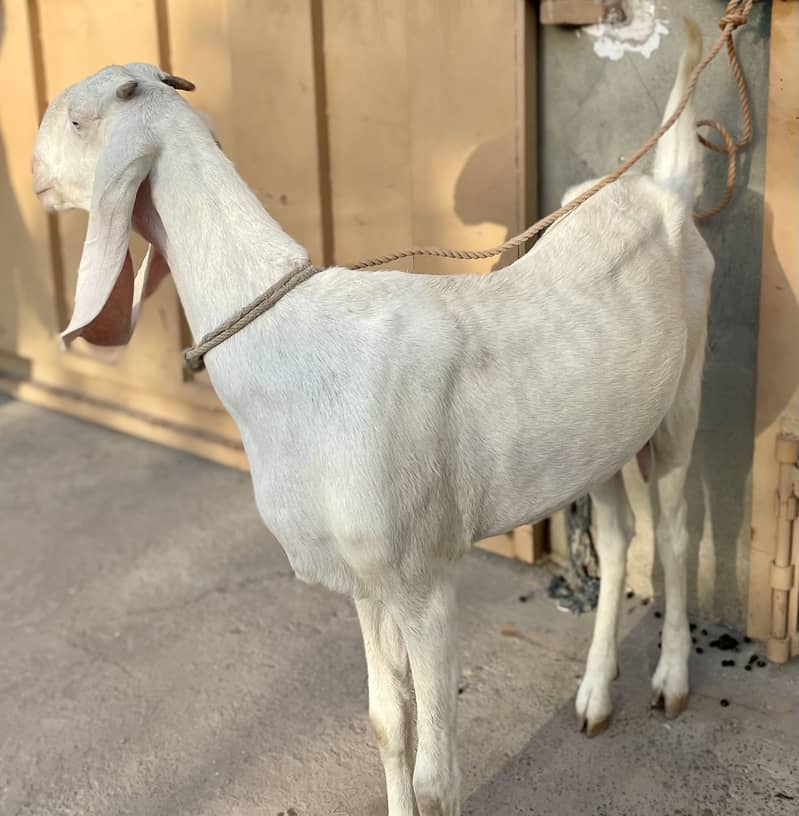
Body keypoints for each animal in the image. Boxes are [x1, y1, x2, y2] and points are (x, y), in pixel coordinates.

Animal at [32, 20, 711, 816]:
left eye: (79, 120)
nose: (33, 173)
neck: (294, 346)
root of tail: (661, 186)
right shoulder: (363, 576)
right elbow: (387, 724)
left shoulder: (424, 579)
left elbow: (438, 777)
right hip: (600, 439)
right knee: (617, 532)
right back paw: (596, 696)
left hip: (683, 397)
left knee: (675, 530)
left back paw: (670, 683)